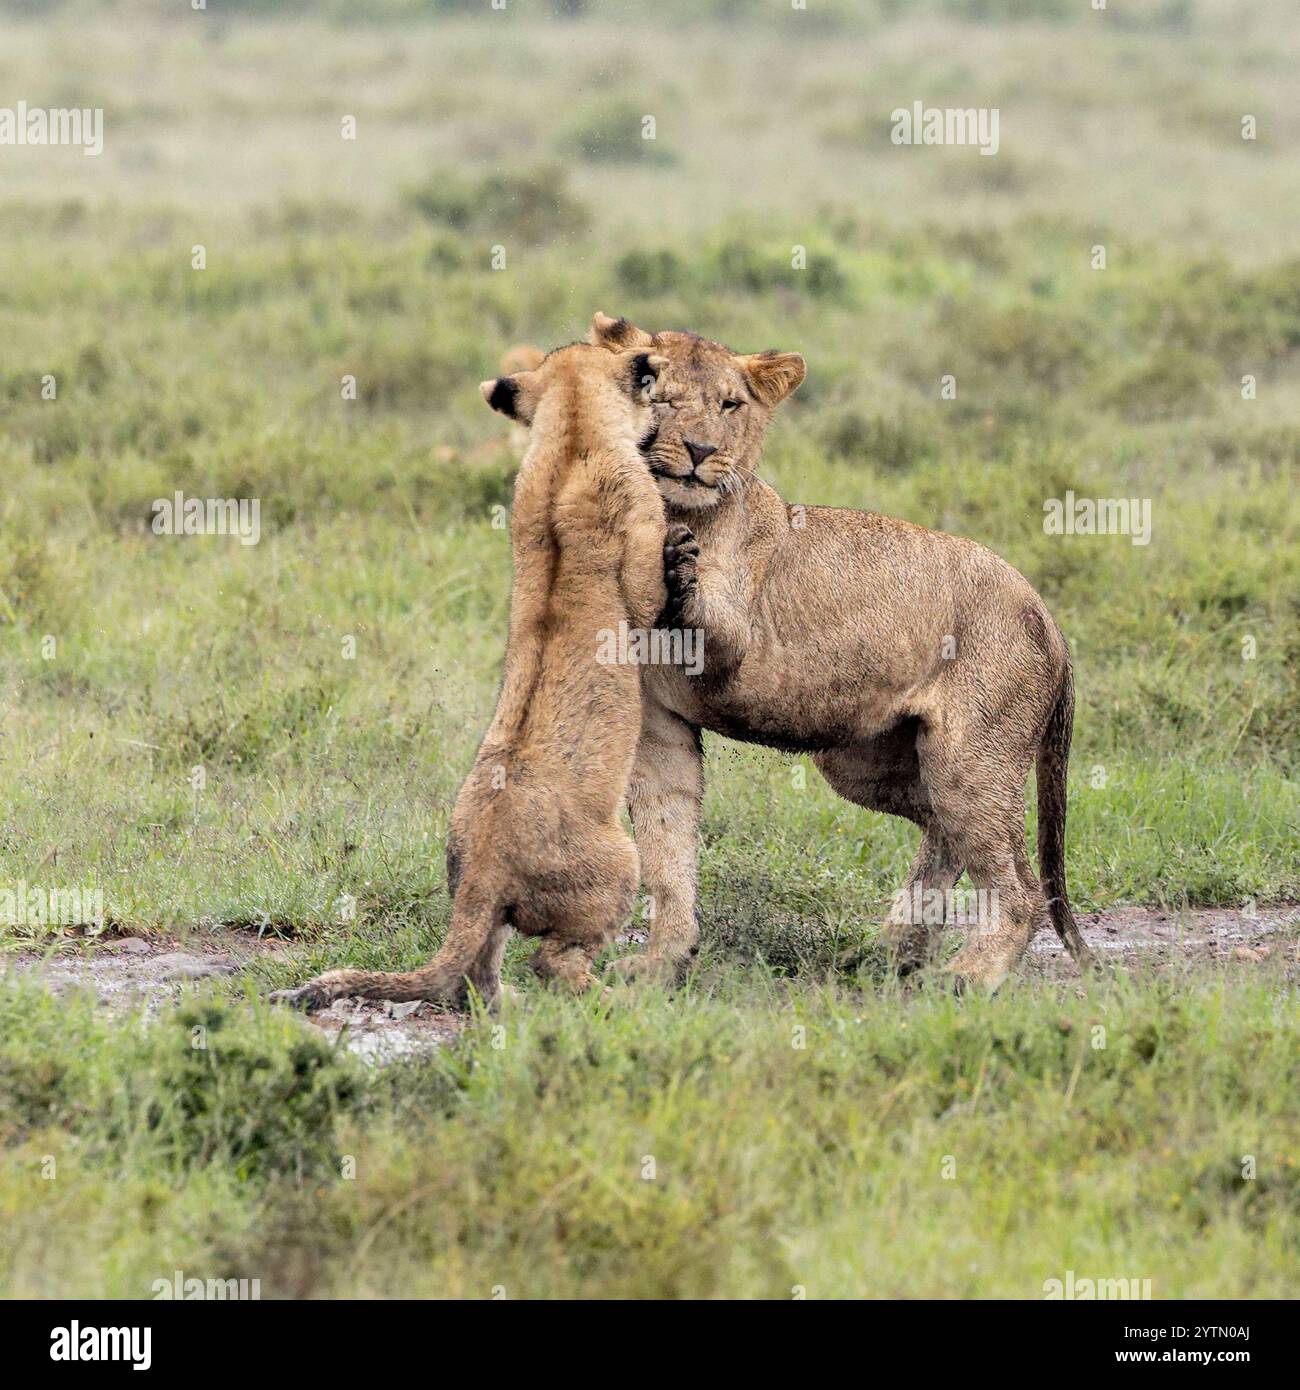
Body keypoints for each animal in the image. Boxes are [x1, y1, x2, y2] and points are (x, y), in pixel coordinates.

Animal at [270, 340, 670, 1011]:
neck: (572, 432)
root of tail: (483, 868)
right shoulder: (638, 535)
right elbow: (652, 594)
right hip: (620, 863)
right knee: (553, 961)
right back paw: (611, 997)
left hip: (479, 894)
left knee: (476, 972)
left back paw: (510, 1003)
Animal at [588, 312, 1096, 992]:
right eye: (662, 398)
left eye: (729, 405)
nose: (700, 451)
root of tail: (1044, 610)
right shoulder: (657, 723)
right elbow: (667, 855)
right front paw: (660, 963)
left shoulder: (740, 644)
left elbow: (712, 620)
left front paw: (678, 566)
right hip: (867, 761)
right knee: (946, 832)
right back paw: (892, 952)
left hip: (972, 755)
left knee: (1018, 883)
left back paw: (966, 974)